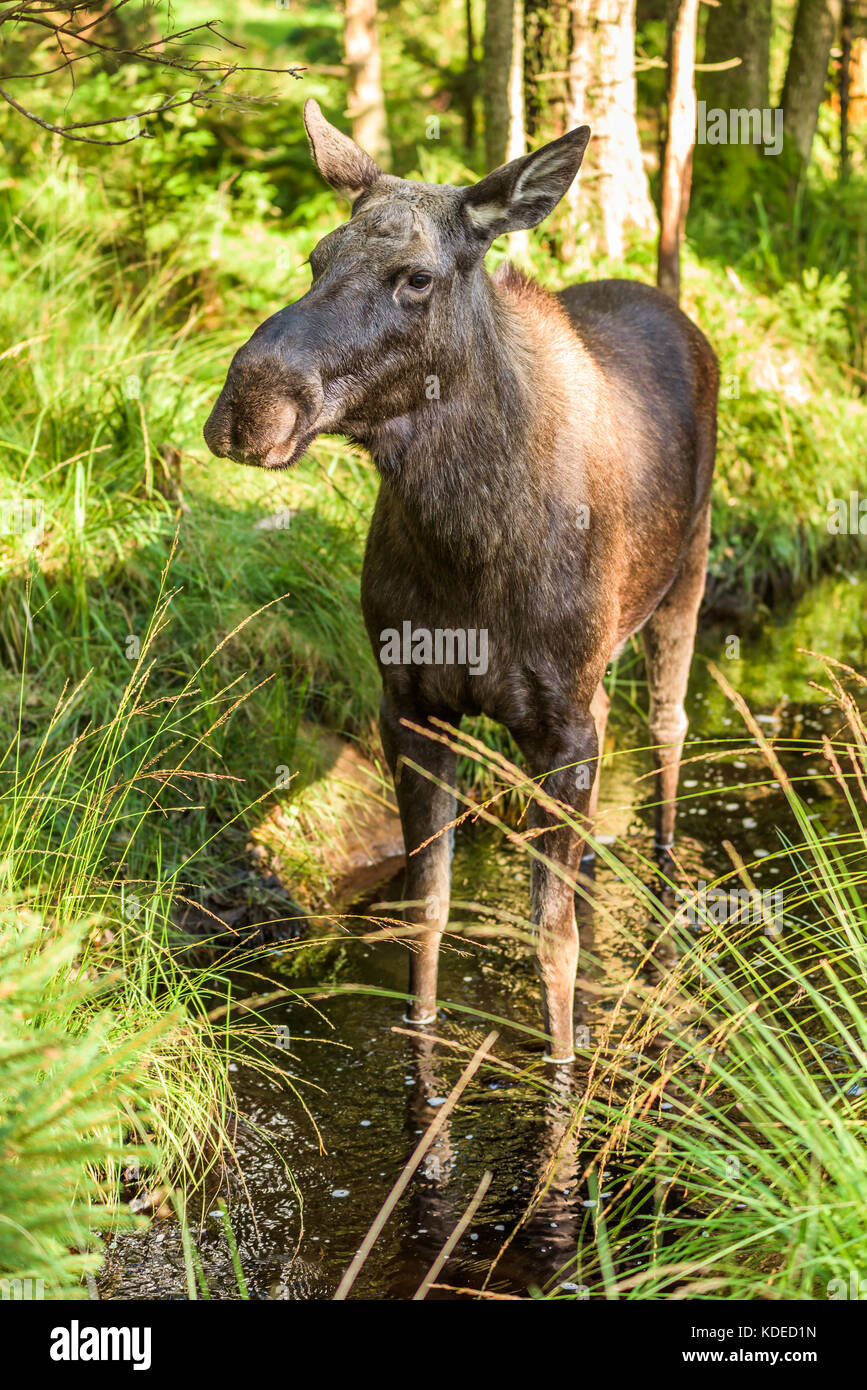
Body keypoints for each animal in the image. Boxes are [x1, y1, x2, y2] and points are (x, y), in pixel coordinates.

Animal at [203, 99, 718, 1064]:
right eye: (317, 256)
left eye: (415, 277)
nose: (248, 406)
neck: (468, 552)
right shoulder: (409, 702)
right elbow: (427, 912)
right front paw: (424, 1055)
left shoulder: (559, 725)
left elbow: (553, 942)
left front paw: (562, 1073)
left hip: (689, 574)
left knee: (669, 727)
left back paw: (668, 873)